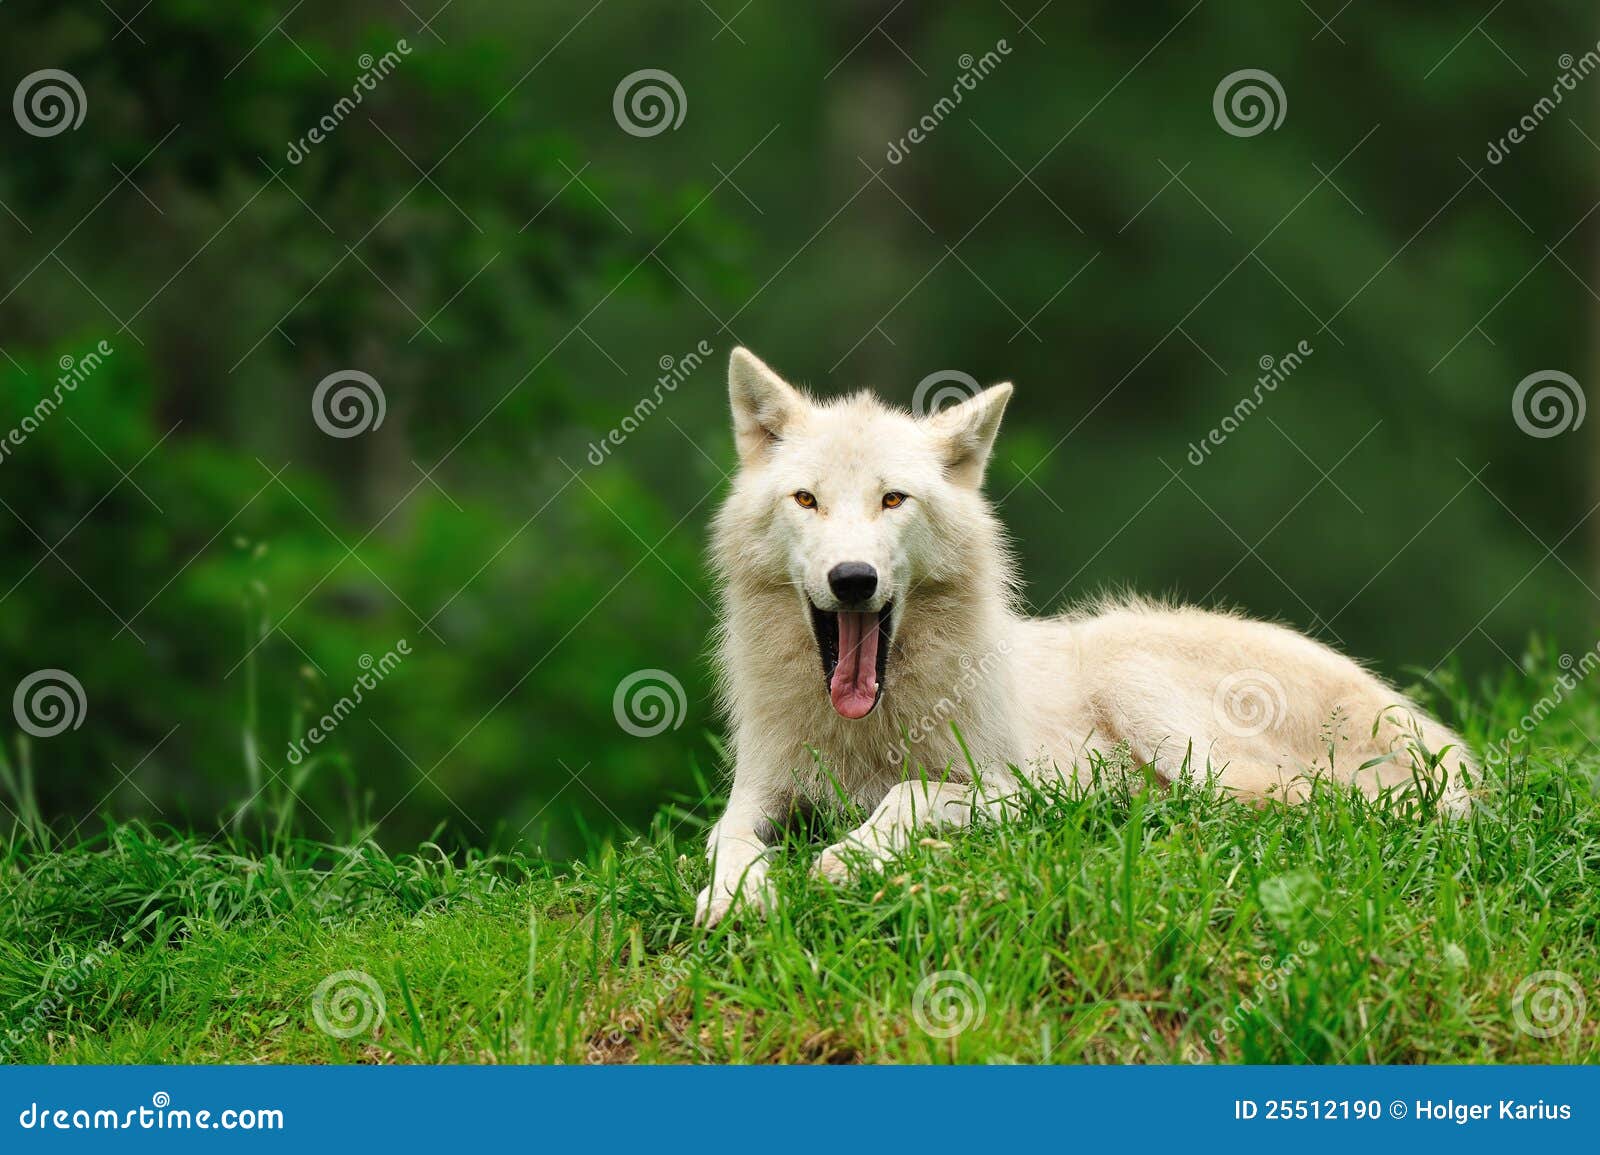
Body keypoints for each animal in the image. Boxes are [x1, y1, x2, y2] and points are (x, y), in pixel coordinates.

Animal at [696, 347, 1474, 926]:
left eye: (893, 499)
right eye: (807, 499)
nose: (853, 578)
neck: (867, 731)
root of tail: (1450, 754)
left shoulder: (1020, 785)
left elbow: (913, 793)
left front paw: (849, 856)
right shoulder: (759, 792)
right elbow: (723, 838)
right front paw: (735, 894)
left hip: (1134, 678)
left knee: (1234, 809)